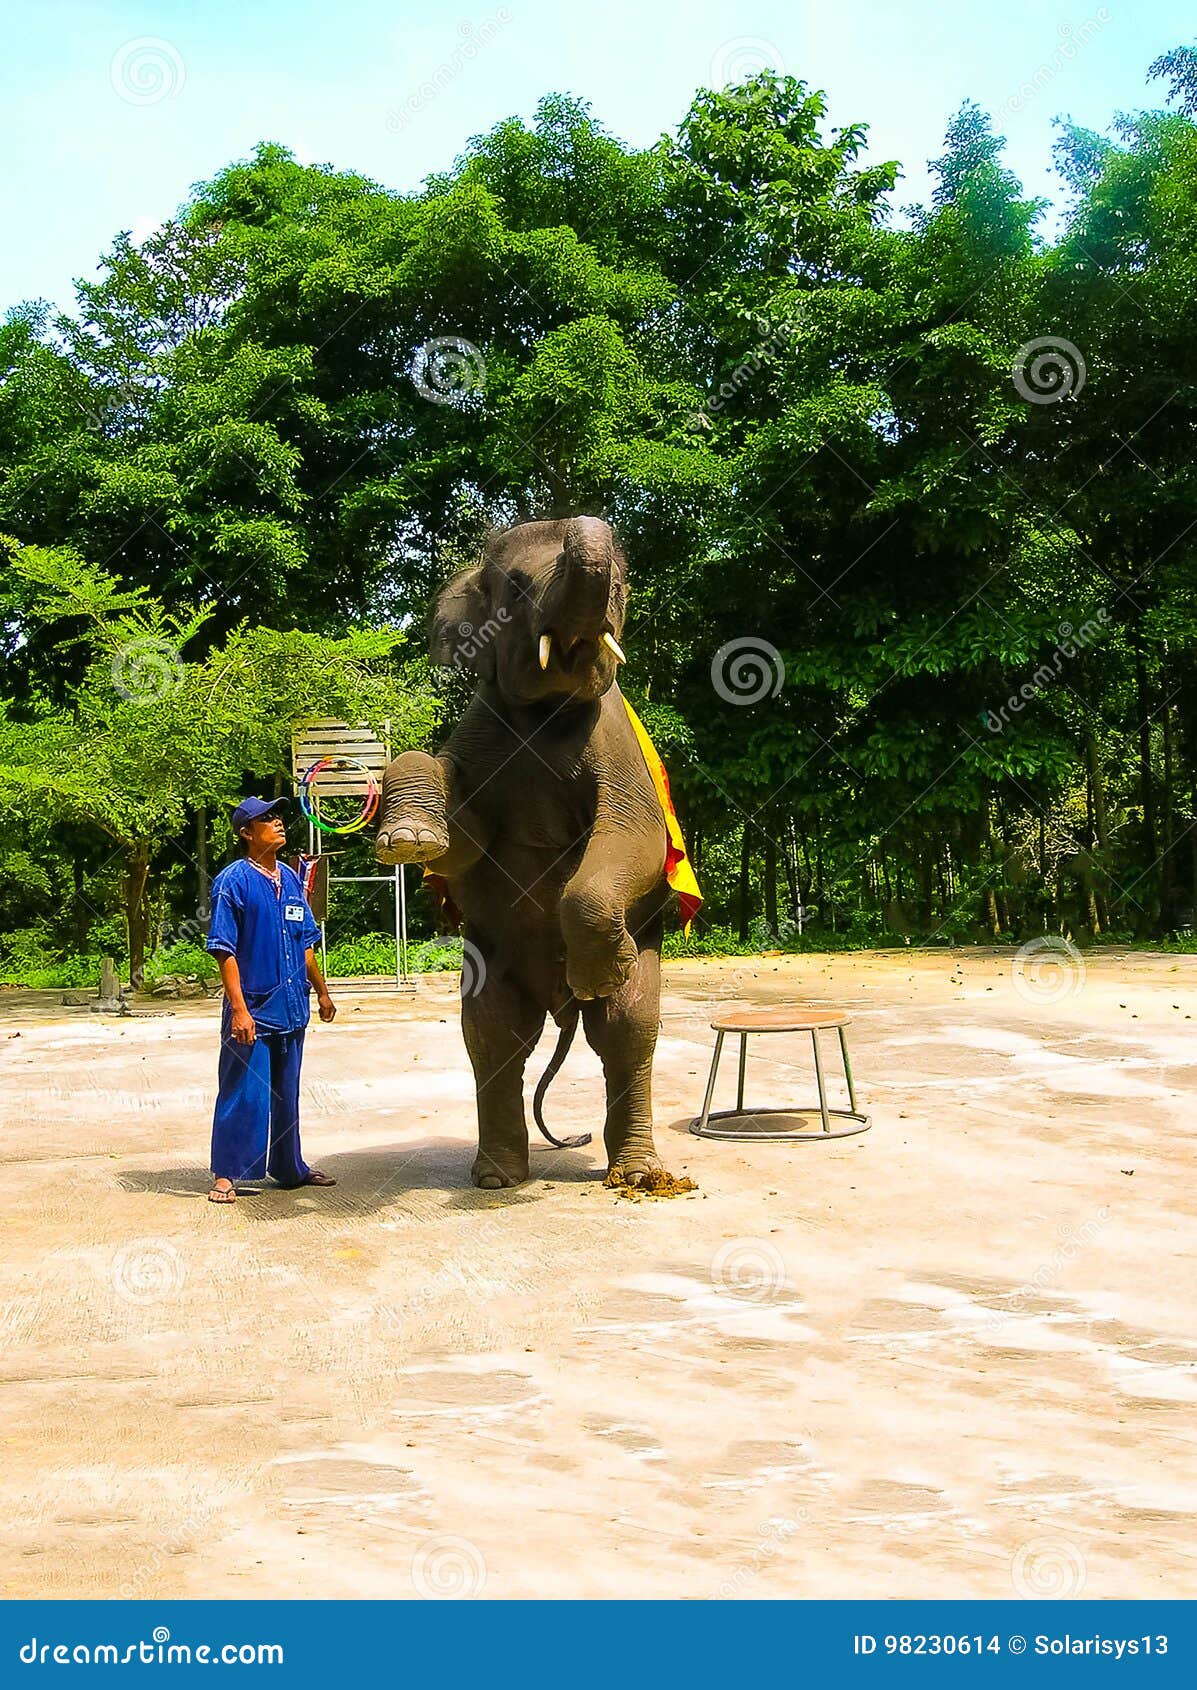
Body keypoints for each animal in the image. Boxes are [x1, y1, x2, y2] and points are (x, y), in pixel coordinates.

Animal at [375, 515, 679, 1190]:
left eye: (623, 584)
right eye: (513, 586)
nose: (587, 521)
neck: (547, 716)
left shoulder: (614, 739)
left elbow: (635, 837)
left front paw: (602, 973)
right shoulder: (484, 725)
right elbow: (462, 841)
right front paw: (409, 841)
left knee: (626, 1029)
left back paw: (639, 1177)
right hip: (492, 959)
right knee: (494, 1035)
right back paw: (496, 1178)